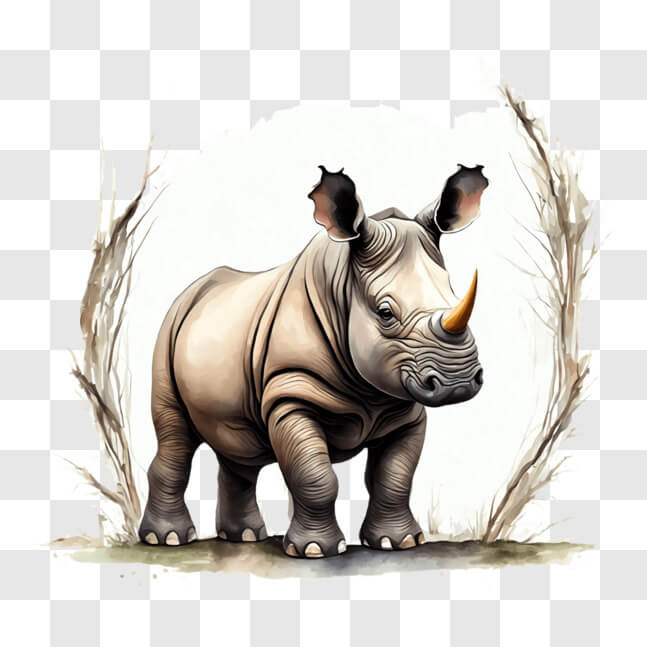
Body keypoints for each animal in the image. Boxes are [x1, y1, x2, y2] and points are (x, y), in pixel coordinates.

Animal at [139, 164, 489, 558]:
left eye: (454, 295)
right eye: (385, 313)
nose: (459, 381)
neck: (343, 290)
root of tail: (191, 294)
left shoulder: (405, 406)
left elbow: (395, 476)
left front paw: (397, 543)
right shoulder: (289, 394)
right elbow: (316, 476)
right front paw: (315, 550)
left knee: (239, 451)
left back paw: (244, 536)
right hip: (168, 332)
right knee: (174, 434)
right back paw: (167, 539)